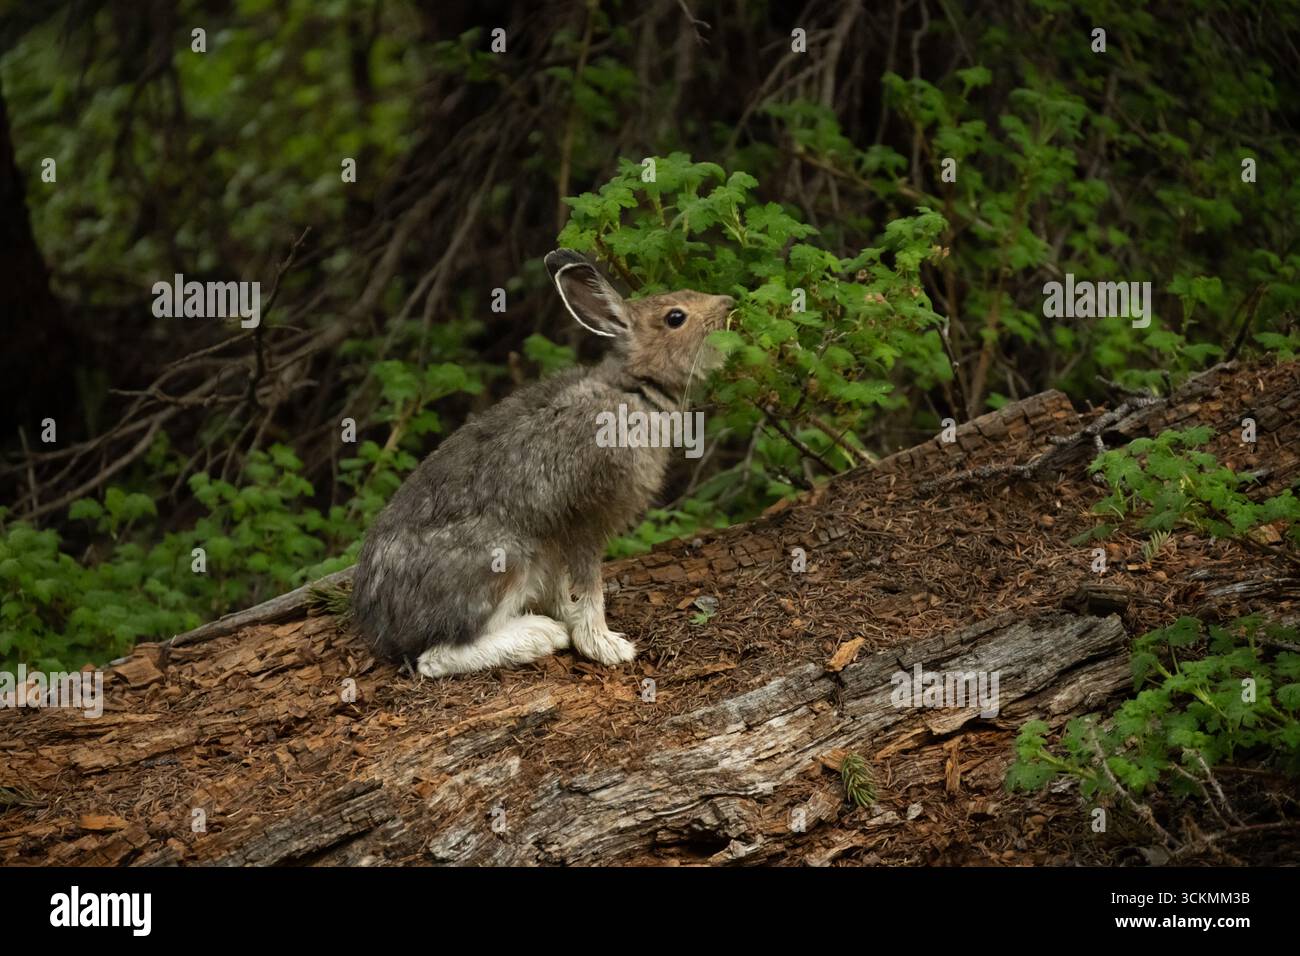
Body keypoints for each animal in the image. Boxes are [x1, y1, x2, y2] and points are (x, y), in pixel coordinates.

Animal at [352, 249, 735, 677]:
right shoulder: (586, 519)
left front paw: (572, 619)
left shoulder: (557, 538)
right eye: (675, 317)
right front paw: (604, 646)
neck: (633, 388)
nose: (729, 304)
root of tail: (383, 622)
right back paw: (538, 636)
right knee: (435, 657)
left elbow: (562, 587)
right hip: (503, 561)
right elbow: (590, 587)